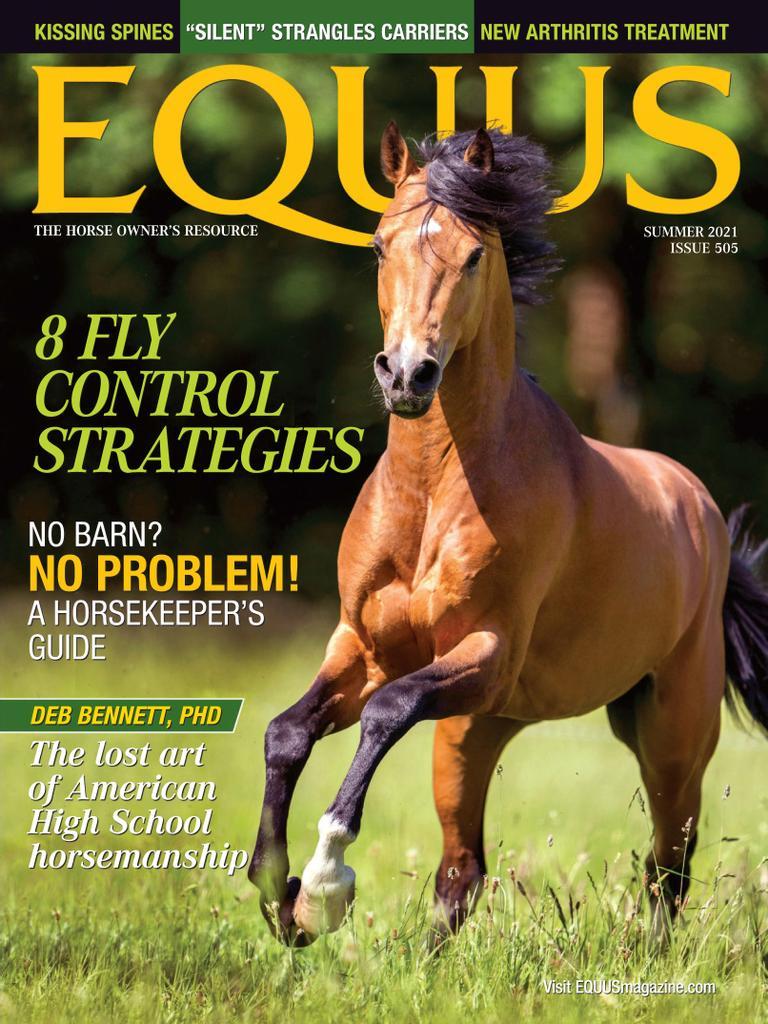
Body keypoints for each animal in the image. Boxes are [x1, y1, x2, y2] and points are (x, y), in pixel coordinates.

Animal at [249, 122, 768, 945]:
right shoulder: (364, 647)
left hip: (671, 733)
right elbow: (287, 732)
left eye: (472, 255)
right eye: (378, 245)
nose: (407, 375)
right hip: (476, 729)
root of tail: (700, 508)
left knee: (669, 865)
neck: (434, 494)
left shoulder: (486, 650)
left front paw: (326, 884)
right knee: (462, 869)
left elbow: (386, 710)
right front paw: (284, 898)